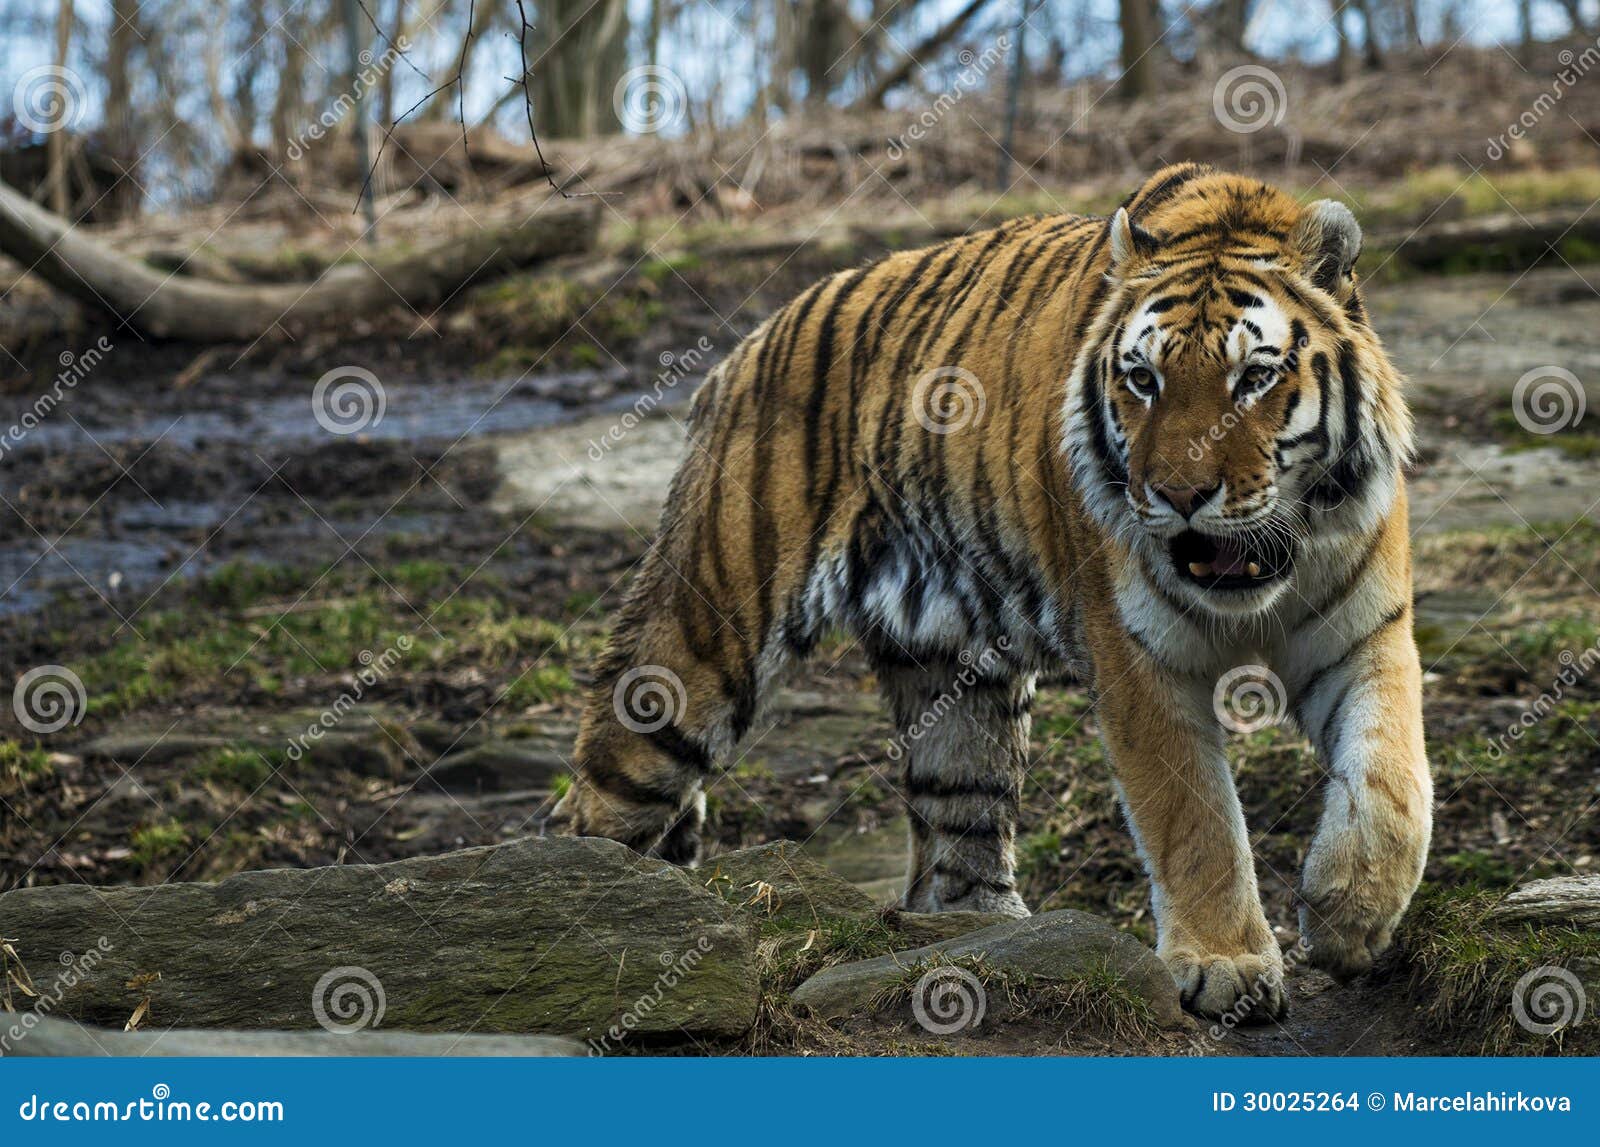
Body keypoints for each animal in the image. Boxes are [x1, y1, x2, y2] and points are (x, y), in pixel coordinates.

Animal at [552, 163, 1432, 1020]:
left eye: (1253, 377)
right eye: (1142, 379)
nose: (1178, 494)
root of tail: (743, 347)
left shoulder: (1367, 633)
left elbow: (1395, 780)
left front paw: (1348, 915)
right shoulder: (1140, 663)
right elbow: (1198, 820)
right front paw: (1228, 965)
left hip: (957, 677)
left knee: (954, 829)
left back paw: (986, 937)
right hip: (701, 643)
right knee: (602, 791)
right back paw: (593, 902)